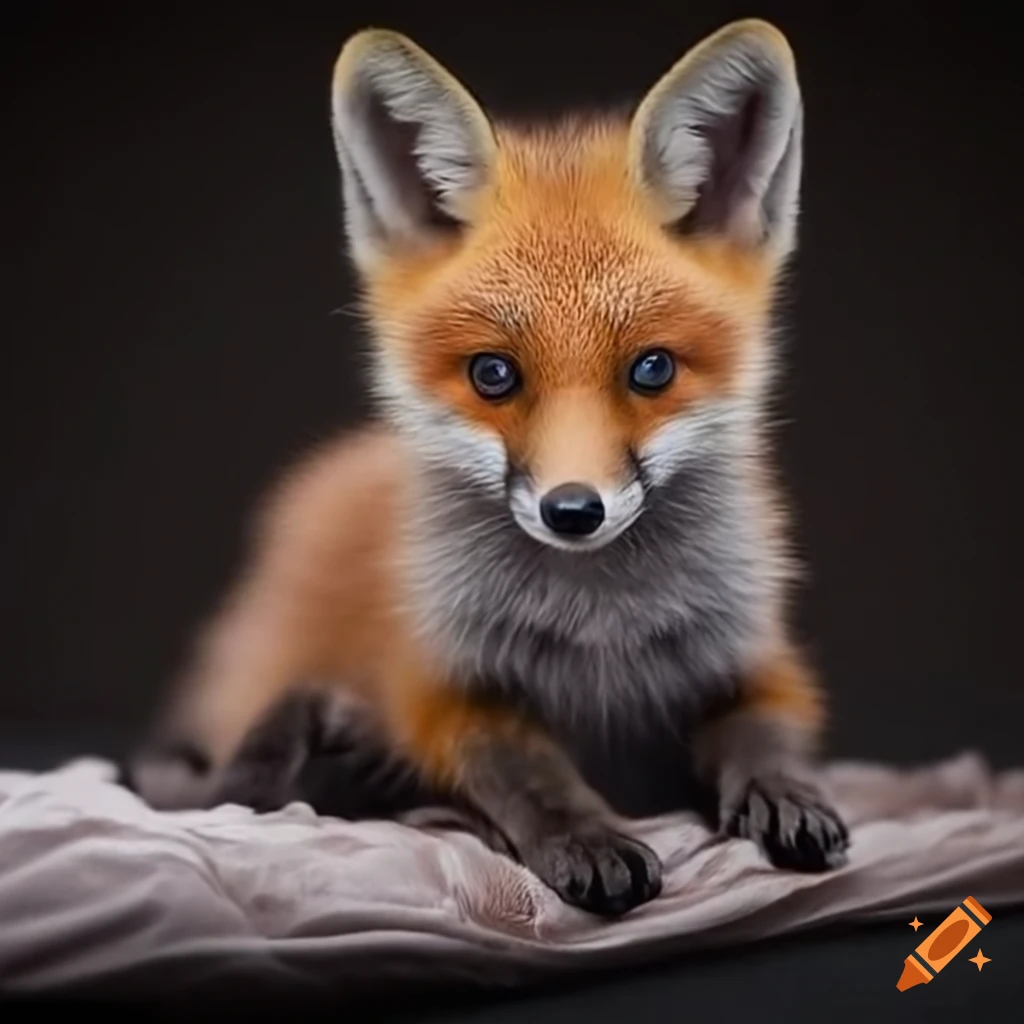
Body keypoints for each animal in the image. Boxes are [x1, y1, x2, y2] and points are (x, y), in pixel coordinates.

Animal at [128, 19, 850, 917]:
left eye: (652, 369)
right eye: (493, 375)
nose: (573, 511)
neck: (600, 631)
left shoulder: (756, 659)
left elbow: (764, 734)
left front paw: (785, 794)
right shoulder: (444, 687)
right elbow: (526, 771)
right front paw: (583, 836)